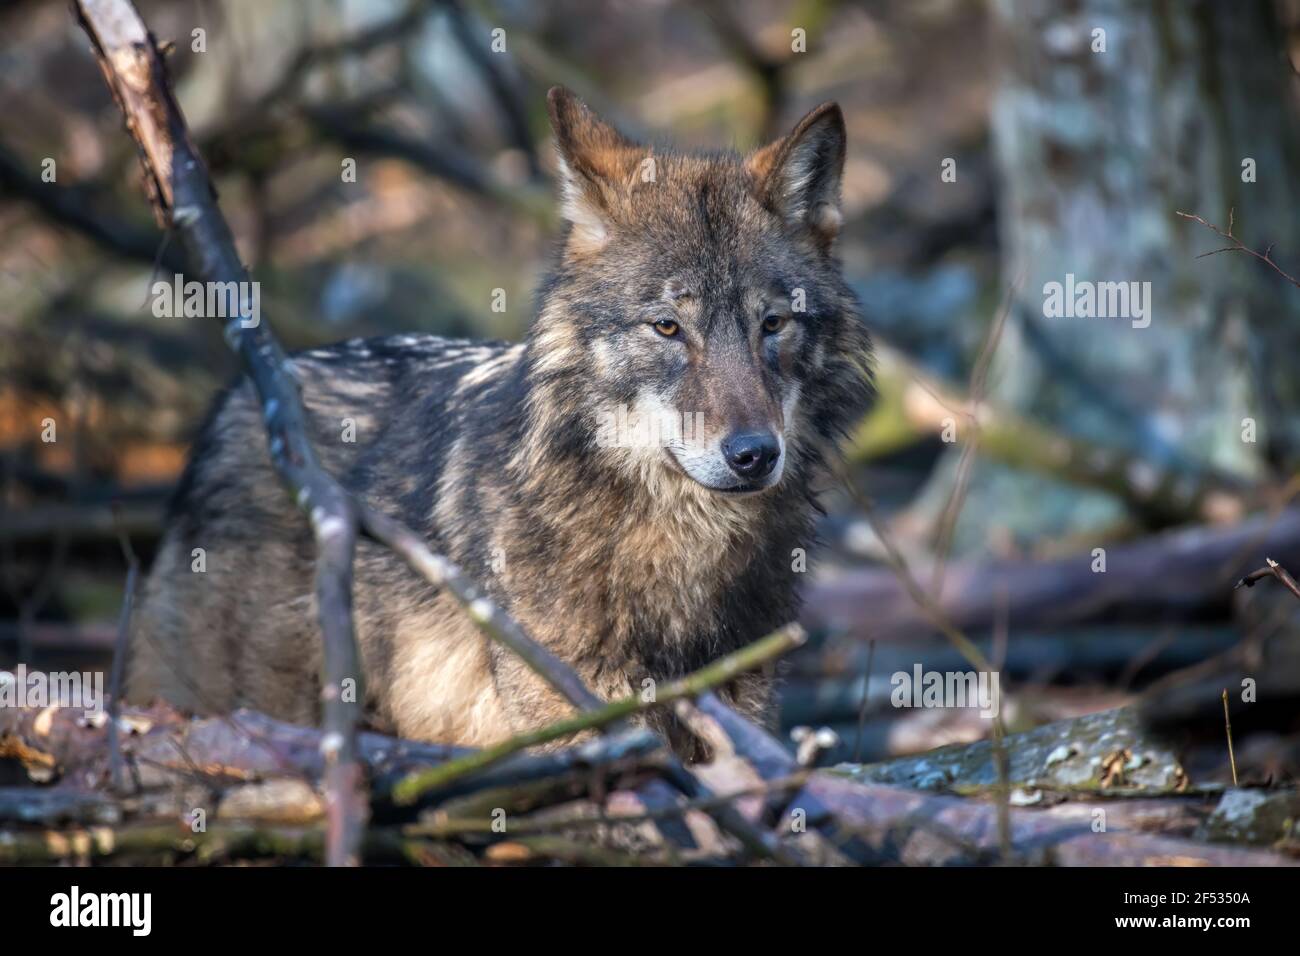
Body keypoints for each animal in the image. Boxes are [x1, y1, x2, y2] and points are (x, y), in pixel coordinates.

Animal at [126, 87, 873, 758]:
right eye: (667, 326)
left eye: (771, 324)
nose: (754, 454)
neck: (681, 546)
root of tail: (242, 400)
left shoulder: (744, 703)